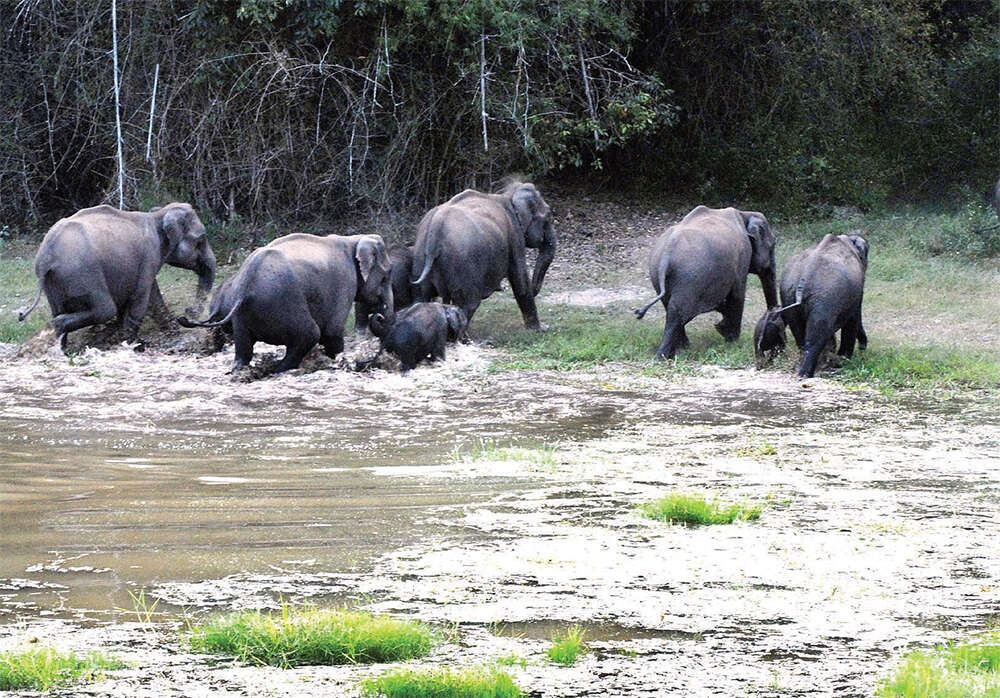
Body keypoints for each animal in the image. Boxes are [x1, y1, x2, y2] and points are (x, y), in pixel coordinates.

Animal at [17, 203, 216, 352]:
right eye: (201, 239)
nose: (188, 312)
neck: (157, 215)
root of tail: (45, 257)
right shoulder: (149, 255)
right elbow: (140, 300)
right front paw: (131, 344)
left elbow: (151, 296)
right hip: (83, 275)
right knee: (105, 310)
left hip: (56, 282)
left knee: (59, 310)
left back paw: (61, 349)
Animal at [178, 233, 394, 373]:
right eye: (387, 275)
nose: (379, 314)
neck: (353, 239)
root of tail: (246, 284)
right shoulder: (345, 282)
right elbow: (332, 333)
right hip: (284, 302)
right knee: (310, 334)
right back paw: (277, 369)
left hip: (244, 315)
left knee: (243, 350)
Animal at [410, 180, 557, 330]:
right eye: (549, 216)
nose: (535, 292)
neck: (508, 195)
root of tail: (435, 228)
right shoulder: (515, 236)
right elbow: (520, 278)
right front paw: (542, 329)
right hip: (463, 265)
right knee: (469, 304)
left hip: (420, 257)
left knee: (421, 298)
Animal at [634, 205, 778, 359]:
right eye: (773, 246)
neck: (744, 214)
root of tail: (666, 256)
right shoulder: (743, 256)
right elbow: (737, 295)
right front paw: (732, 342)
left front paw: (721, 328)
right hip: (689, 279)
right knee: (677, 312)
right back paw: (664, 356)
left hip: (658, 275)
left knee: (671, 308)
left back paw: (682, 348)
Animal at [753, 233, 869, 377]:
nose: (863, 346)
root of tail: (805, 277)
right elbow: (853, 317)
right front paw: (843, 359)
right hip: (825, 298)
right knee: (816, 333)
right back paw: (808, 372)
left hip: (788, 293)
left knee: (799, 331)